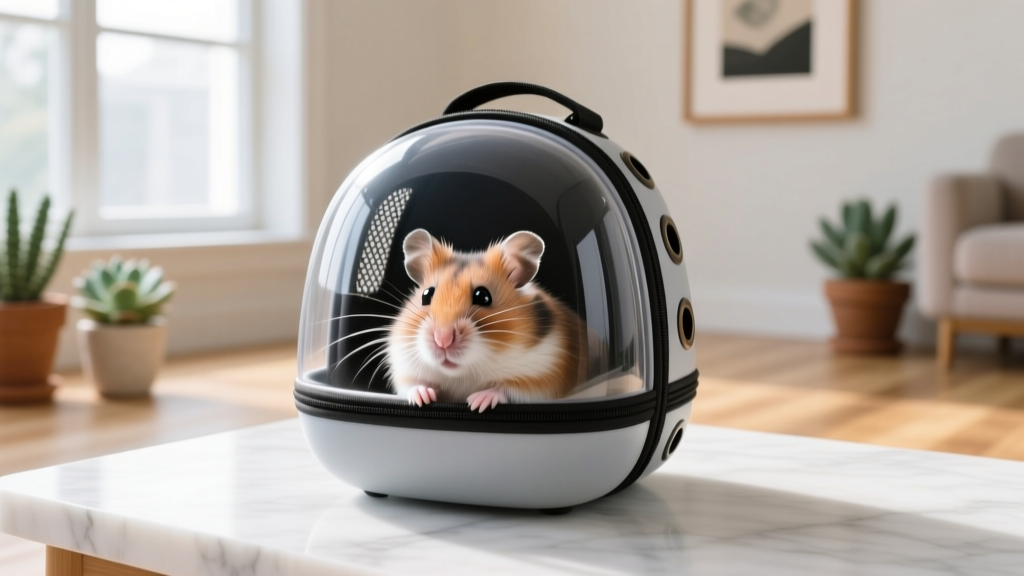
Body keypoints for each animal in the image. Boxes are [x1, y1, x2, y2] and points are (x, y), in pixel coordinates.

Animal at [385, 229, 585, 412]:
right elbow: (412, 385)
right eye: (426, 295)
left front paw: (476, 402)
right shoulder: (404, 368)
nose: (443, 340)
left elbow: (508, 389)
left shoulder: (544, 374)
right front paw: (422, 398)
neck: (463, 372)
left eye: (483, 296)